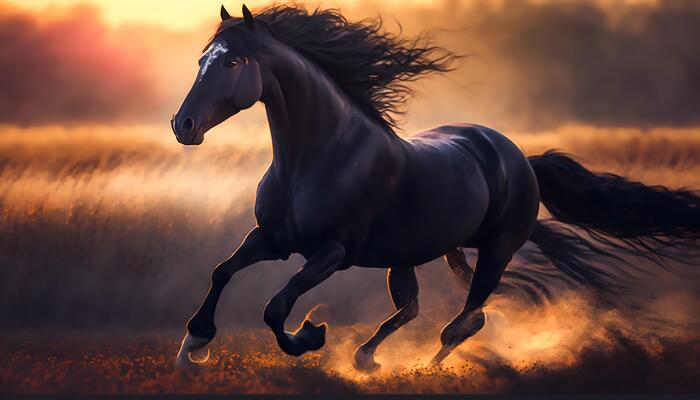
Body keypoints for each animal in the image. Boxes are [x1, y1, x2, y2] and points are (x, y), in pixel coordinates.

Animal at [171, 4, 700, 371]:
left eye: (233, 62)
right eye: (199, 60)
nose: (183, 125)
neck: (316, 158)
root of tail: (521, 160)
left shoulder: (332, 253)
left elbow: (276, 306)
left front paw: (311, 336)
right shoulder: (274, 240)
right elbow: (222, 271)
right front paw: (194, 343)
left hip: (495, 251)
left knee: (465, 318)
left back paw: (424, 366)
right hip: (435, 250)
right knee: (419, 307)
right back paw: (367, 358)